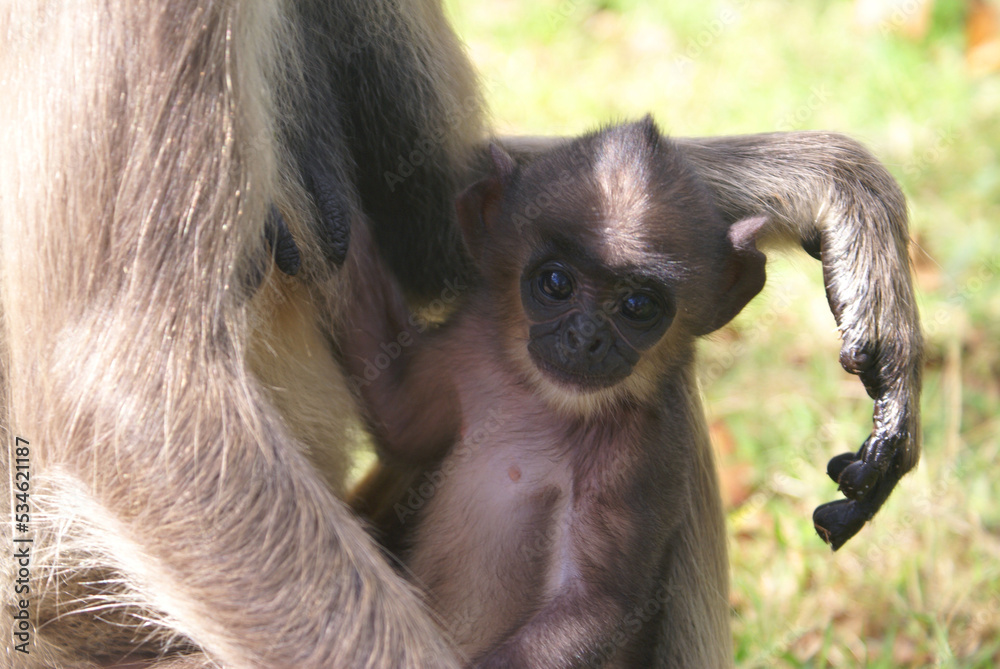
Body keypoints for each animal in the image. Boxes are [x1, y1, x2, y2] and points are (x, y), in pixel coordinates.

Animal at [0, 1, 919, 667]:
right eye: (556, 286)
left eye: (636, 305)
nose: (586, 339)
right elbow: (121, 382)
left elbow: (430, 216)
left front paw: (832, 184)